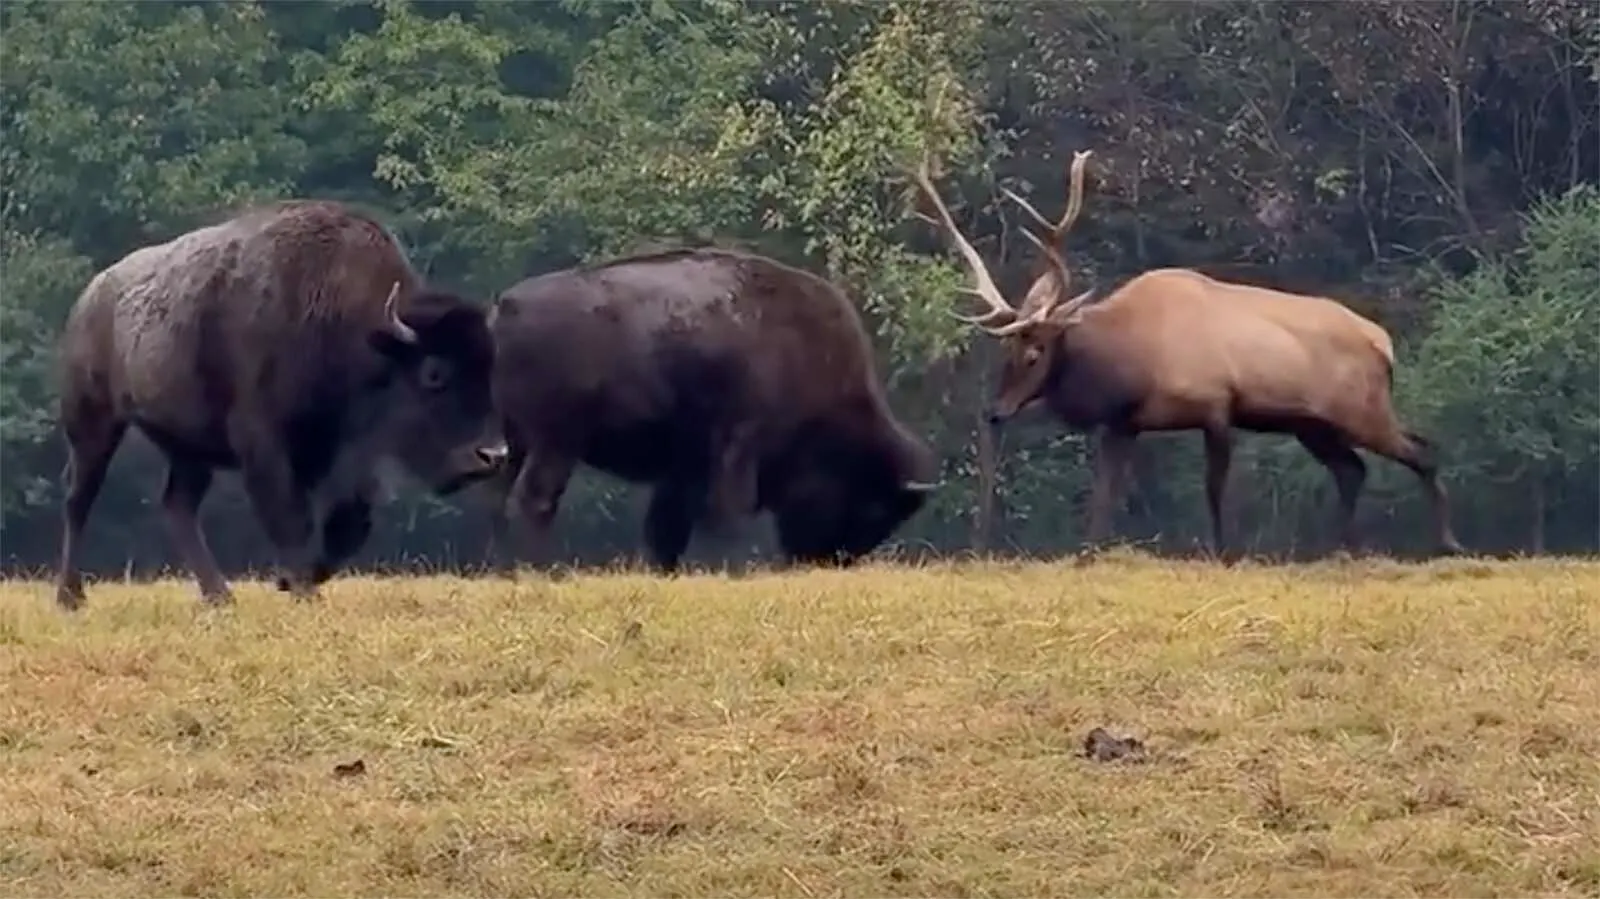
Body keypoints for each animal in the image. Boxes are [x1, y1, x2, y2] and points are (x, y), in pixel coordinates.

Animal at [52, 199, 506, 609]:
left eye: (489, 369)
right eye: (434, 372)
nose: (492, 455)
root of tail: (89, 297)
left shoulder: (338, 455)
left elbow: (348, 520)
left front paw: (295, 580)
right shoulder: (265, 445)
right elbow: (291, 517)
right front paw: (301, 587)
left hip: (188, 448)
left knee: (178, 506)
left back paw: (220, 596)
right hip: (93, 423)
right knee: (79, 499)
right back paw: (71, 596)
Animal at [483, 246, 939, 573]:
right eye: (874, 508)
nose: (824, 559)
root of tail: (505, 307)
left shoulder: (683, 468)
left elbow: (667, 525)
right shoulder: (738, 447)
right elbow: (727, 514)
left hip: (514, 445)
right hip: (555, 443)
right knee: (534, 500)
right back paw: (541, 567)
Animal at [910, 149, 1466, 560]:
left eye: (1035, 351)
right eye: (1006, 348)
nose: (995, 412)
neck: (1130, 365)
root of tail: (1385, 344)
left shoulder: (1215, 407)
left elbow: (1213, 488)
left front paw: (1223, 551)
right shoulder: (1124, 423)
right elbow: (1104, 493)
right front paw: (1088, 552)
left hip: (1360, 412)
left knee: (1421, 451)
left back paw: (1447, 542)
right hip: (1313, 426)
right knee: (1354, 469)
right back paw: (1339, 547)